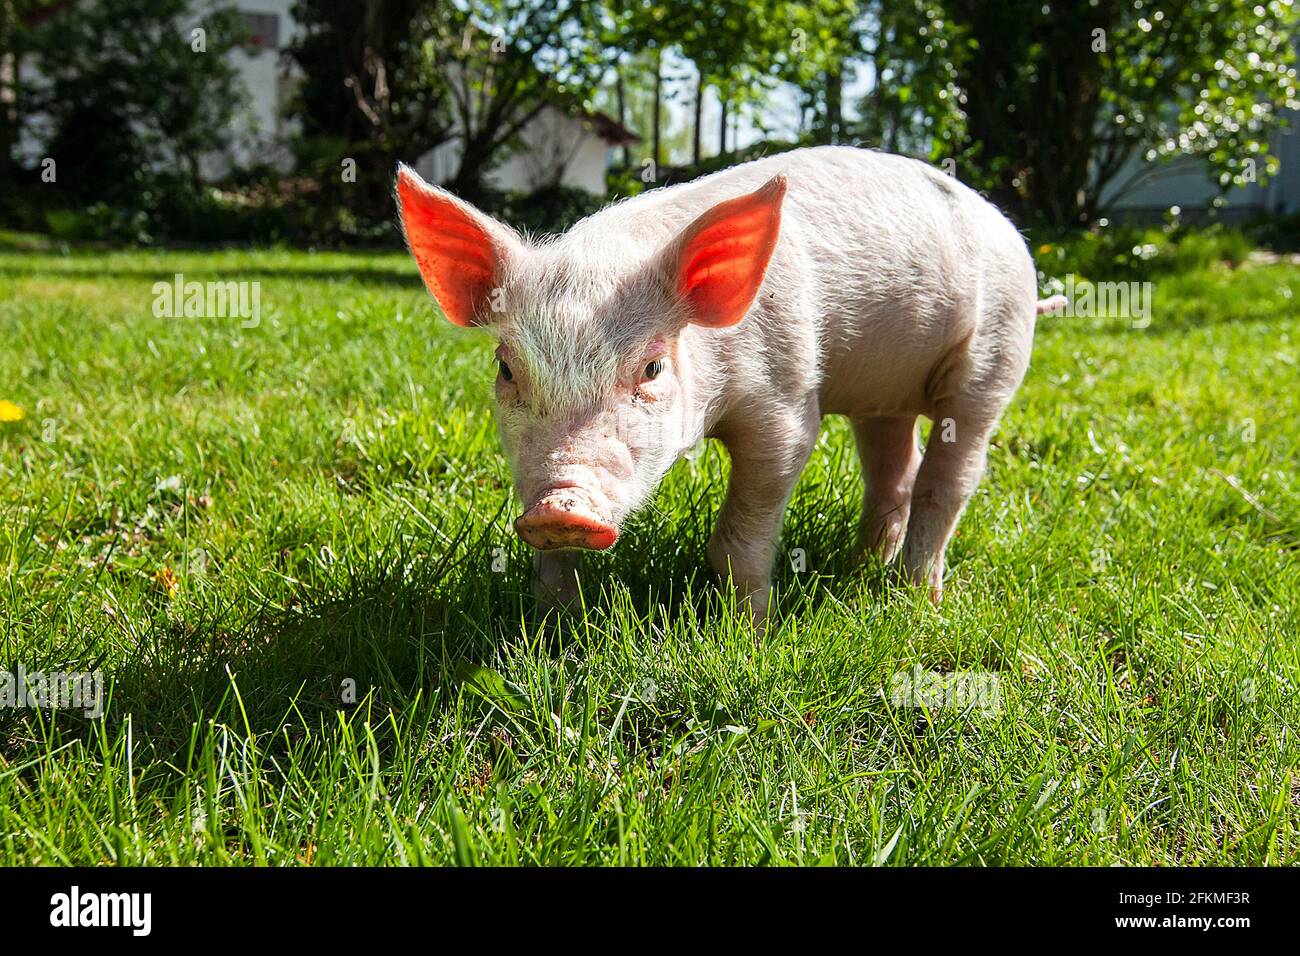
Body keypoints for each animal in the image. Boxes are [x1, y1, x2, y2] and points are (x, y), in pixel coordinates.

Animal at [396, 145, 1053, 623]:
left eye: (652, 368)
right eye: (506, 368)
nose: (562, 503)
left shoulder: (787, 402)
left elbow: (742, 538)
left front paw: (752, 634)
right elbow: (552, 563)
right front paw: (552, 626)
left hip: (993, 358)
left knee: (948, 477)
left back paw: (917, 602)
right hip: (883, 396)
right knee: (893, 471)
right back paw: (863, 569)